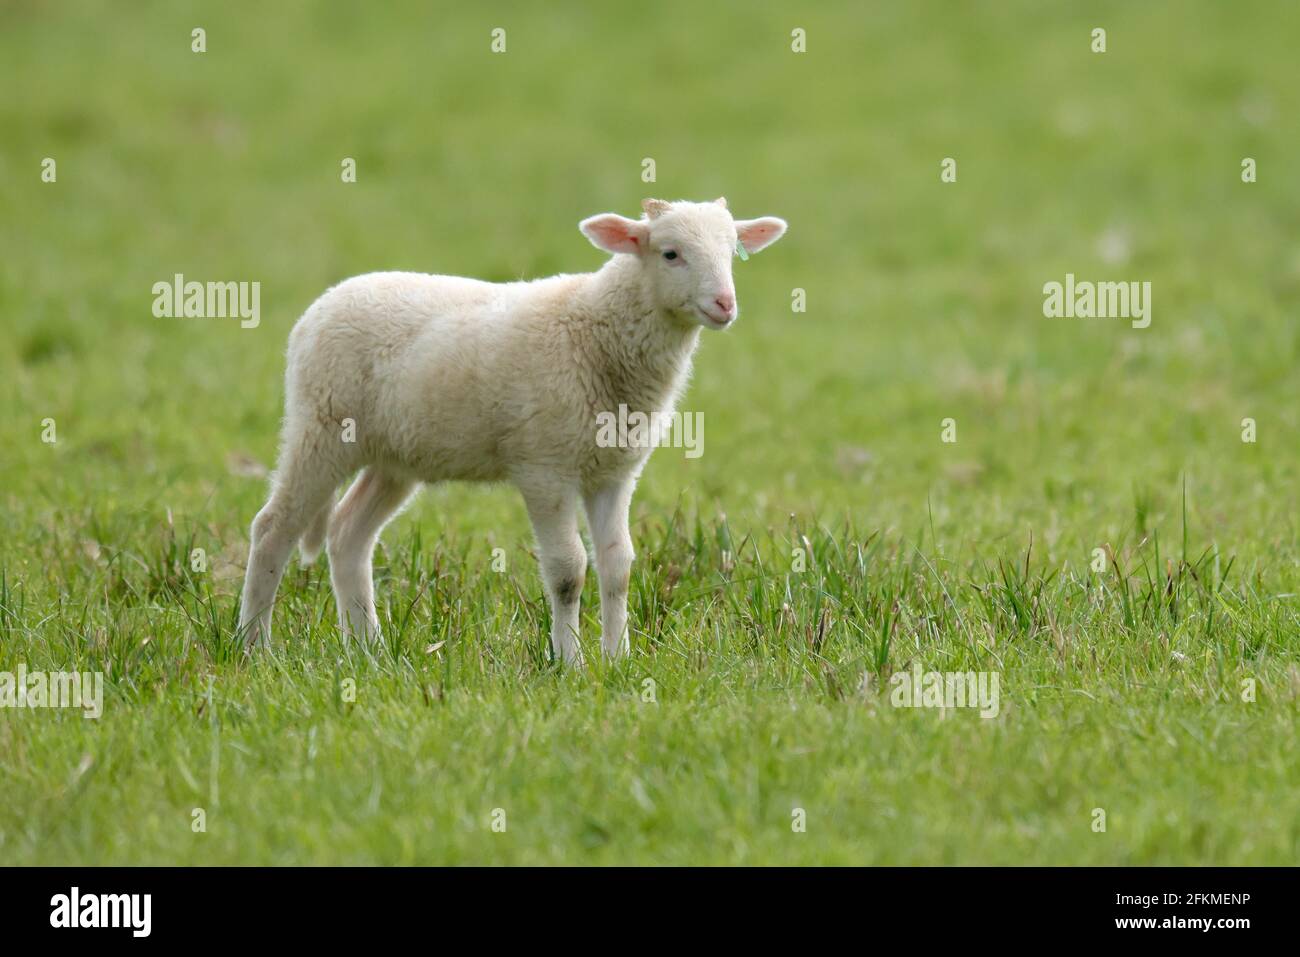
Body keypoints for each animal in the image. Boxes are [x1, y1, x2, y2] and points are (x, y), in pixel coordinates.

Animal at [238, 197, 787, 663]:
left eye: (732, 254)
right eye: (671, 254)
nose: (725, 304)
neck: (597, 331)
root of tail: (318, 308)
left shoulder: (614, 471)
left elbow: (618, 567)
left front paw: (618, 659)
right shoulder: (544, 467)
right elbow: (568, 570)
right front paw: (569, 662)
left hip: (394, 455)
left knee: (348, 534)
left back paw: (369, 651)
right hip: (321, 427)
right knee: (273, 529)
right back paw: (254, 648)